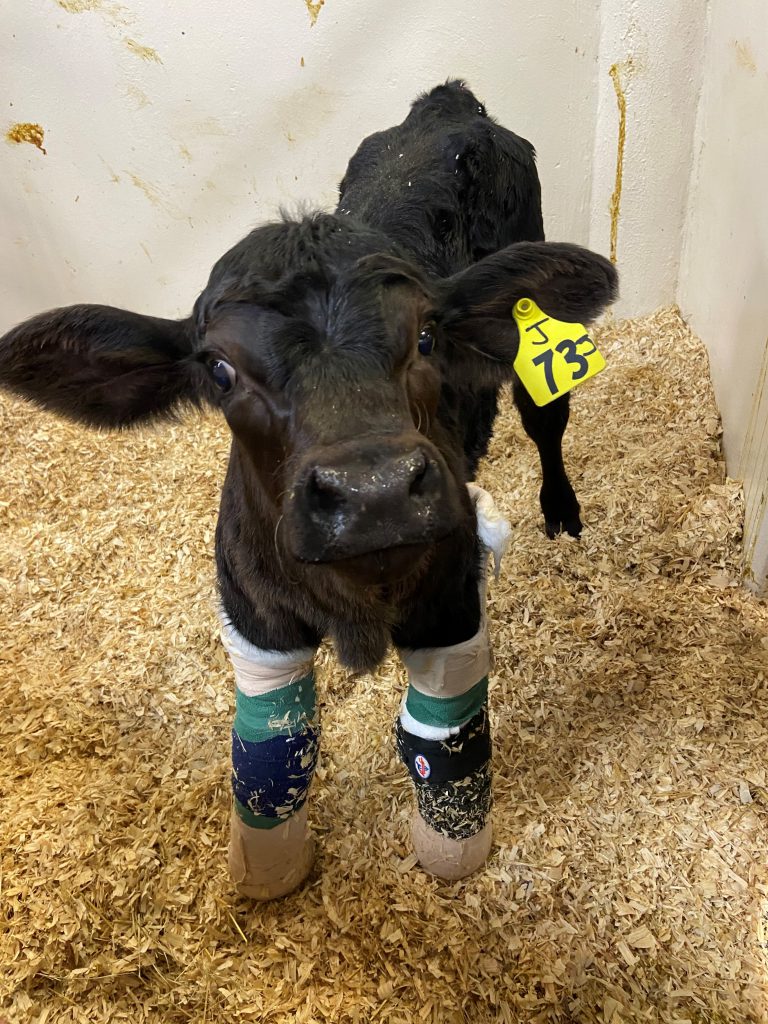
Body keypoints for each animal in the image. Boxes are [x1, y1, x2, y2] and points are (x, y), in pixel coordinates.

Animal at [0, 81, 617, 898]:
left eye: (426, 336)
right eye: (220, 369)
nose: (375, 492)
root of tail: (449, 103)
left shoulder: (453, 609)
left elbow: (447, 764)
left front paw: (451, 846)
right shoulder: (257, 626)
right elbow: (272, 769)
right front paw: (270, 868)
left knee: (546, 417)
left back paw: (562, 510)